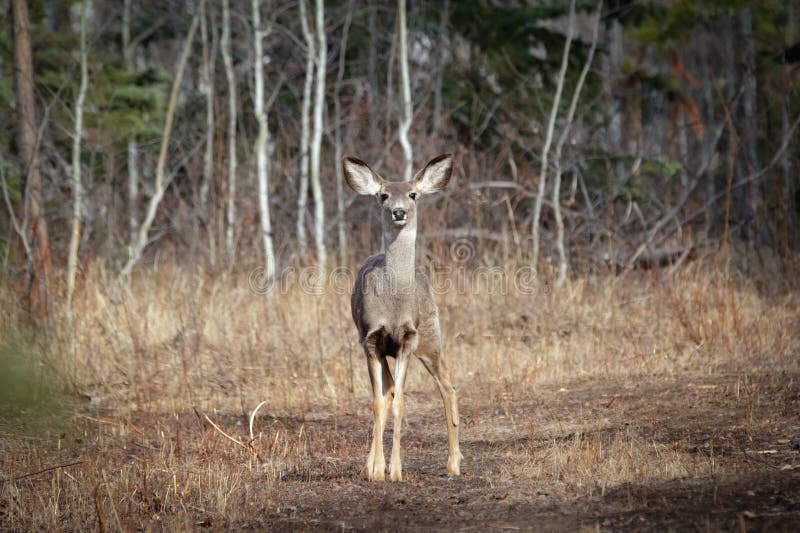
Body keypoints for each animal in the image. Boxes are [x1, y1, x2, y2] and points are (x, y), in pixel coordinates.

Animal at [342, 153, 462, 482]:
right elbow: (379, 401)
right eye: (383, 195)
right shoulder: (371, 340)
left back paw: (454, 463)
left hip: (431, 336)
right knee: (390, 390)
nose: (398, 212)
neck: (394, 303)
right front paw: (376, 470)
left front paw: (395, 471)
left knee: (447, 383)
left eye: (412, 194)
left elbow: (400, 403)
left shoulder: (408, 339)